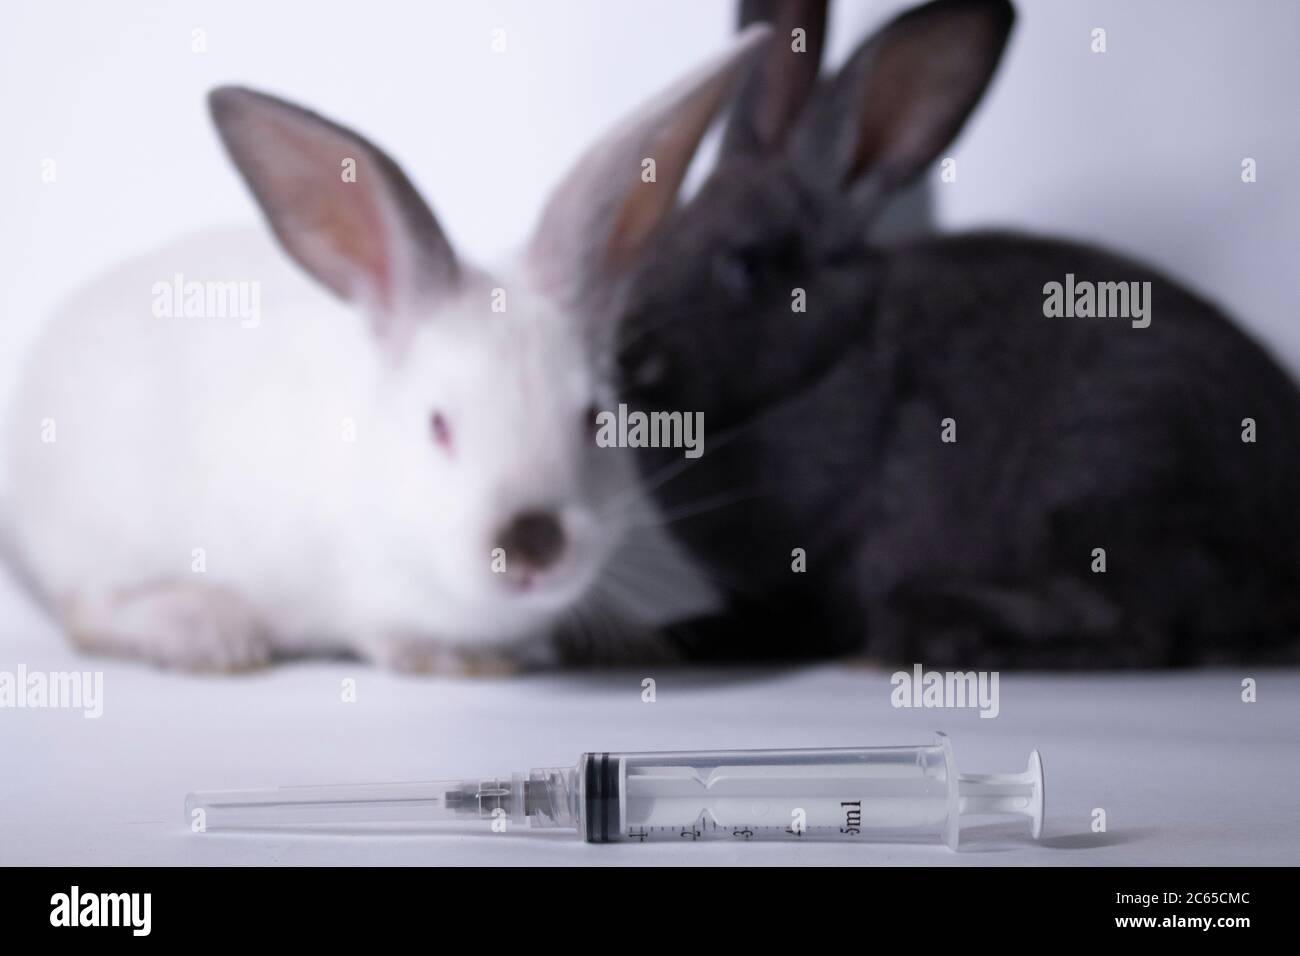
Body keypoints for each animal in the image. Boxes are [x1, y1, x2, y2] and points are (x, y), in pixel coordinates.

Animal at [0, 28, 771, 673]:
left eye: (595, 420)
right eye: (438, 425)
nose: (533, 542)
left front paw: (630, 640)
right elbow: (391, 636)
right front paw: (461, 661)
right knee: (86, 610)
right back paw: (209, 631)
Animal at [615, 0, 1300, 668]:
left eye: (747, 265)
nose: (622, 348)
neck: (831, 354)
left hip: (1113, 469)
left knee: (1142, 630)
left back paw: (934, 630)